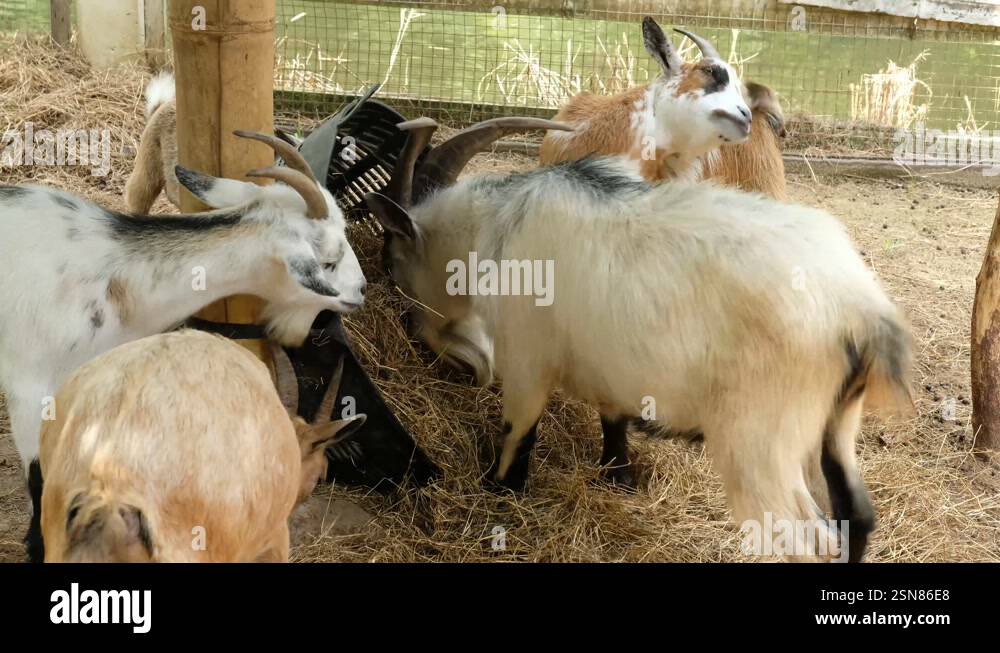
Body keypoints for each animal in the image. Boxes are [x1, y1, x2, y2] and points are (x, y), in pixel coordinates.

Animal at [366, 117, 913, 562]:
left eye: (391, 256)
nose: (412, 335)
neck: (495, 227)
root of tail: (861, 314)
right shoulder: (609, 365)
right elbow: (612, 417)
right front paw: (618, 475)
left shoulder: (526, 357)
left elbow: (518, 430)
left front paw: (498, 489)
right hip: (833, 426)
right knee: (857, 516)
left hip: (760, 443)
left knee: (808, 540)